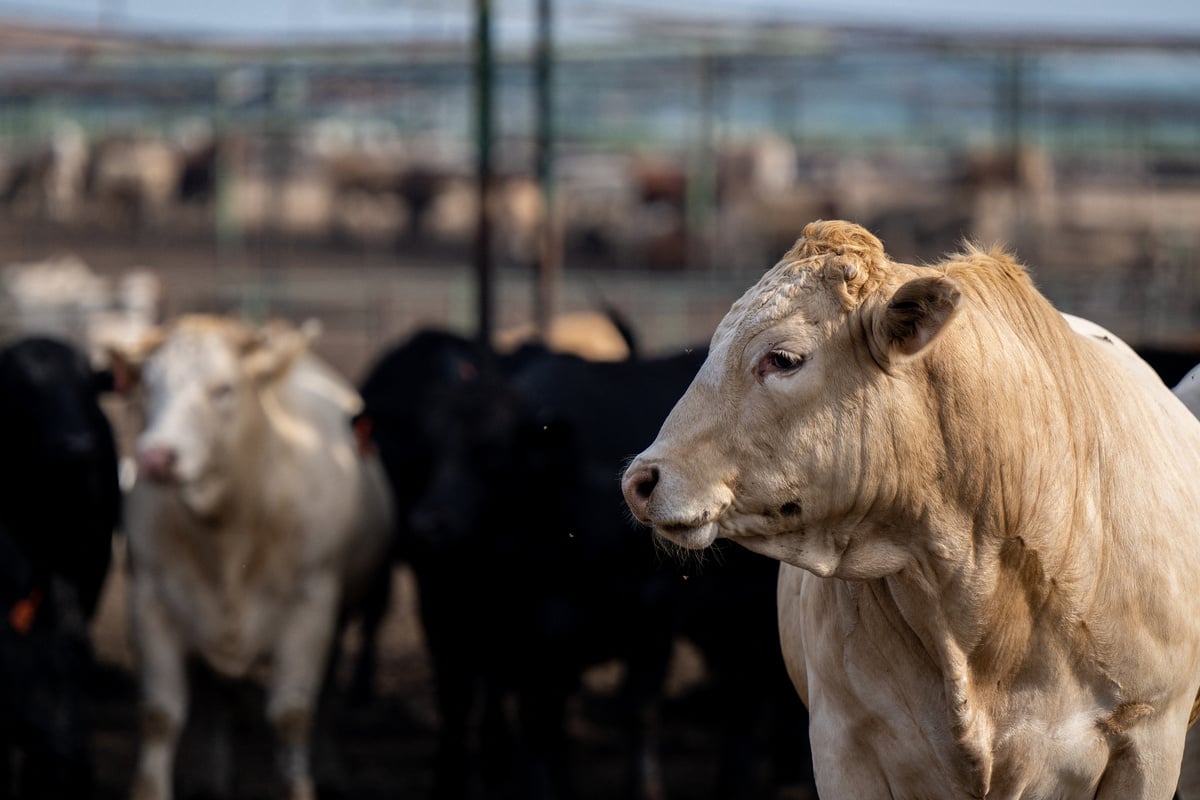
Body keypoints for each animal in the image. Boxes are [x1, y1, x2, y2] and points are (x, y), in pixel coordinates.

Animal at [110, 315, 393, 800]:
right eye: (148, 386)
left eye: (223, 389)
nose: (156, 457)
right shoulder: (149, 601)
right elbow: (159, 714)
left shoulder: (311, 607)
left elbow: (292, 716)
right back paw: (212, 777)